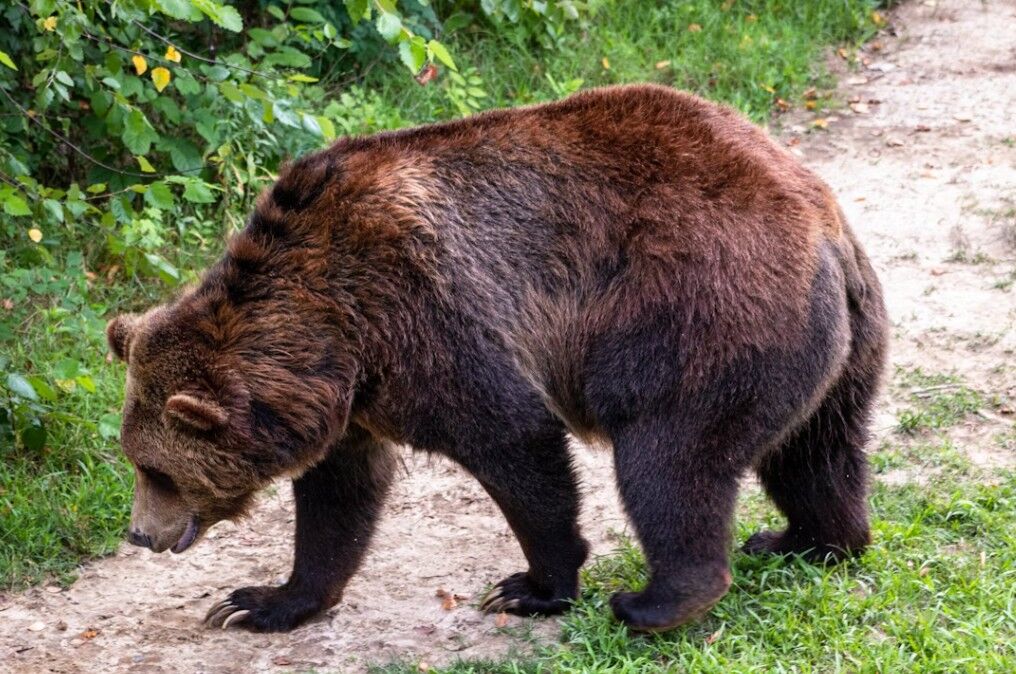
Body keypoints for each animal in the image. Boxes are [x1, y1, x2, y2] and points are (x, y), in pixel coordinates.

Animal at [107, 84, 888, 633]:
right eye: (136, 462)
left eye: (157, 469)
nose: (140, 534)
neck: (329, 330)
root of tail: (823, 225)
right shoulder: (350, 396)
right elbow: (339, 497)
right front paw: (261, 601)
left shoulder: (425, 316)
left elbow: (514, 440)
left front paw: (533, 586)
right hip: (836, 347)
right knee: (817, 451)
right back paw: (803, 540)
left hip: (700, 316)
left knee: (671, 459)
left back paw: (656, 601)